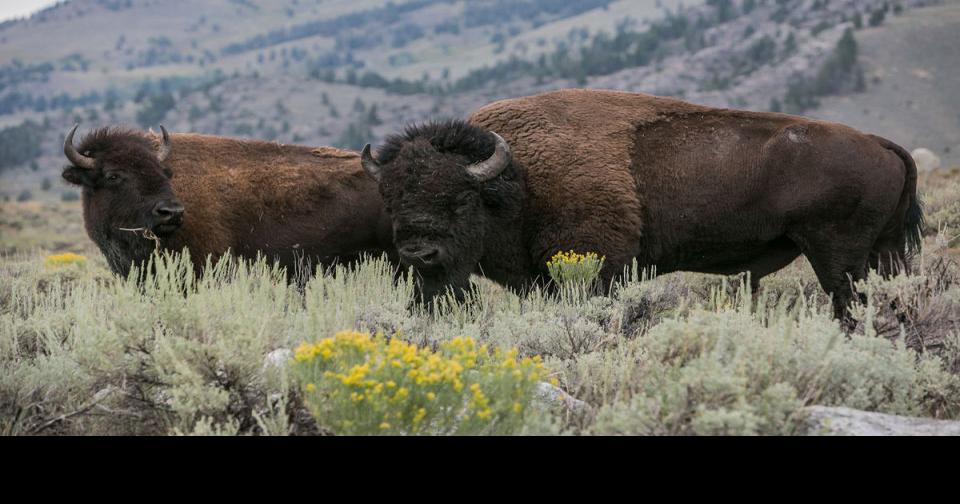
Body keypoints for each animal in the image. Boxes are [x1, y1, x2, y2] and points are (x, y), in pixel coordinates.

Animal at [360, 89, 923, 321]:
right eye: (390, 198)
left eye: (459, 199)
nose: (419, 254)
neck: (516, 178)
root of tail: (881, 143)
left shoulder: (599, 265)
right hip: (887, 249)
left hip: (837, 253)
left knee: (847, 297)